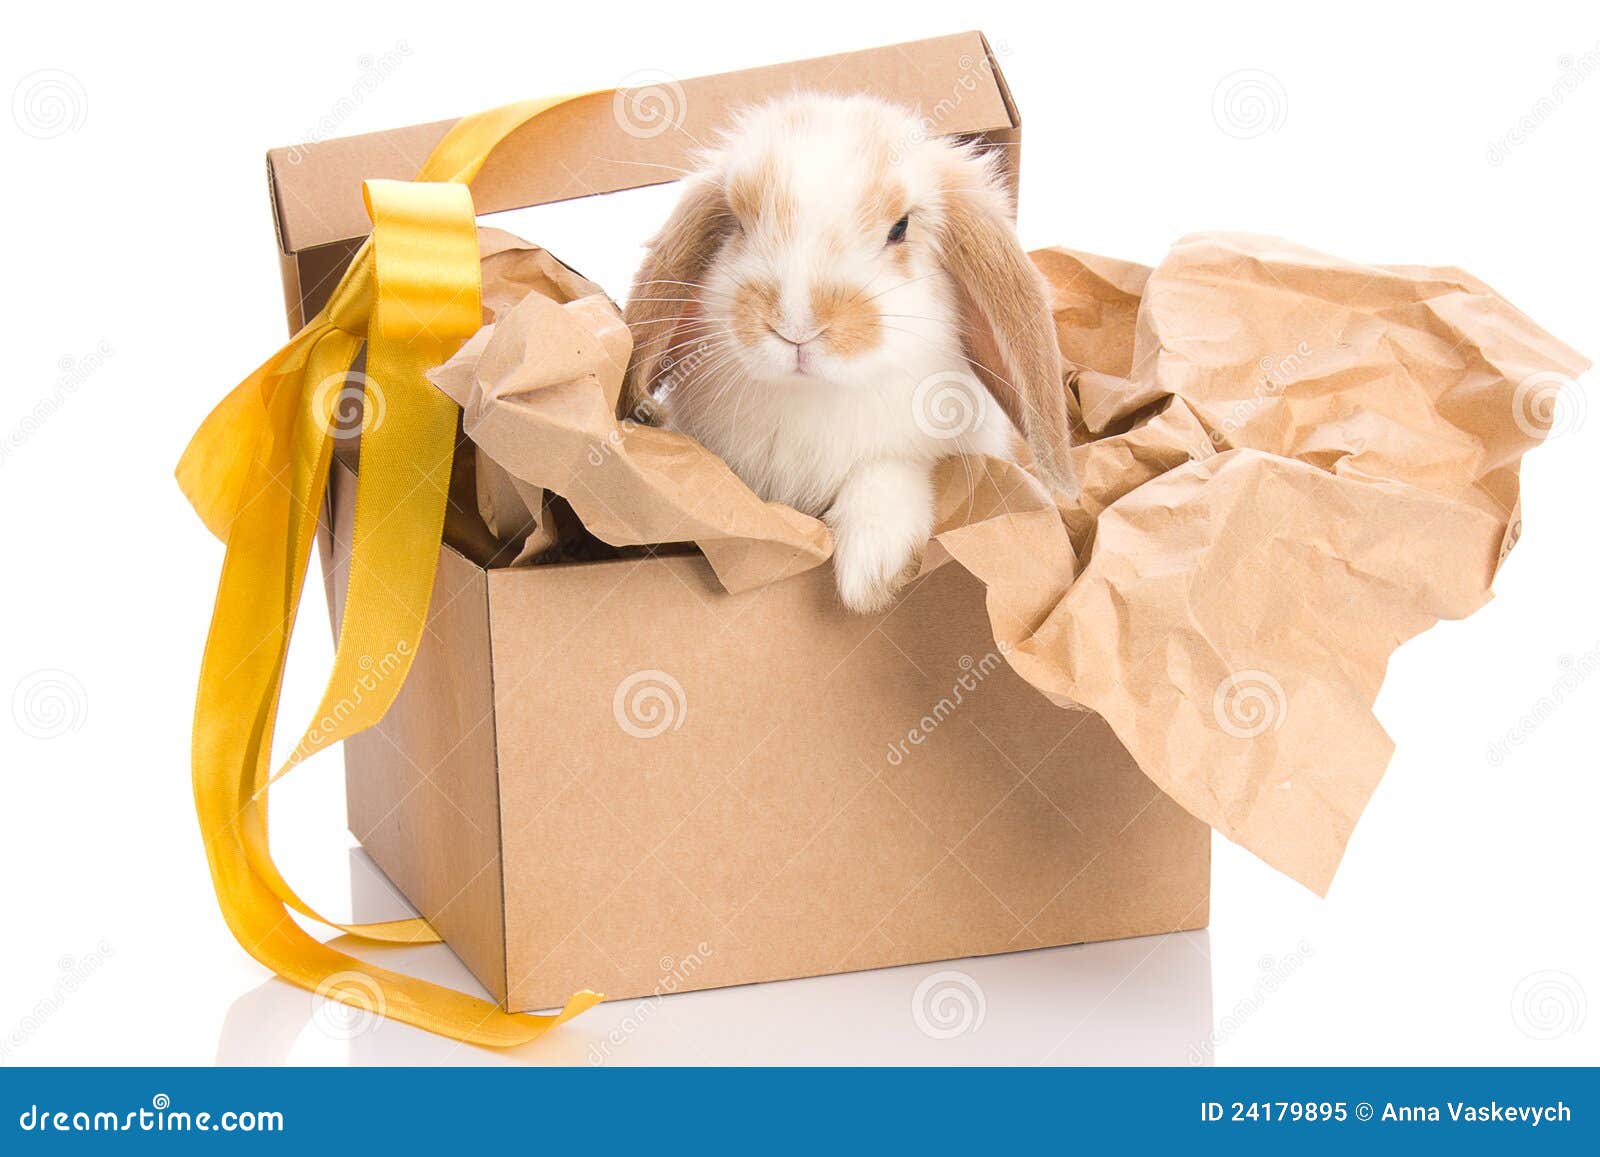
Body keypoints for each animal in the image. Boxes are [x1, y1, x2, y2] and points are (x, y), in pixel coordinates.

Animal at [620, 92, 1076, 614]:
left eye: (900, 227)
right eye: (737, 222)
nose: (796, 325)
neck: (814, 397)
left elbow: (888, 473)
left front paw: (870, 578)